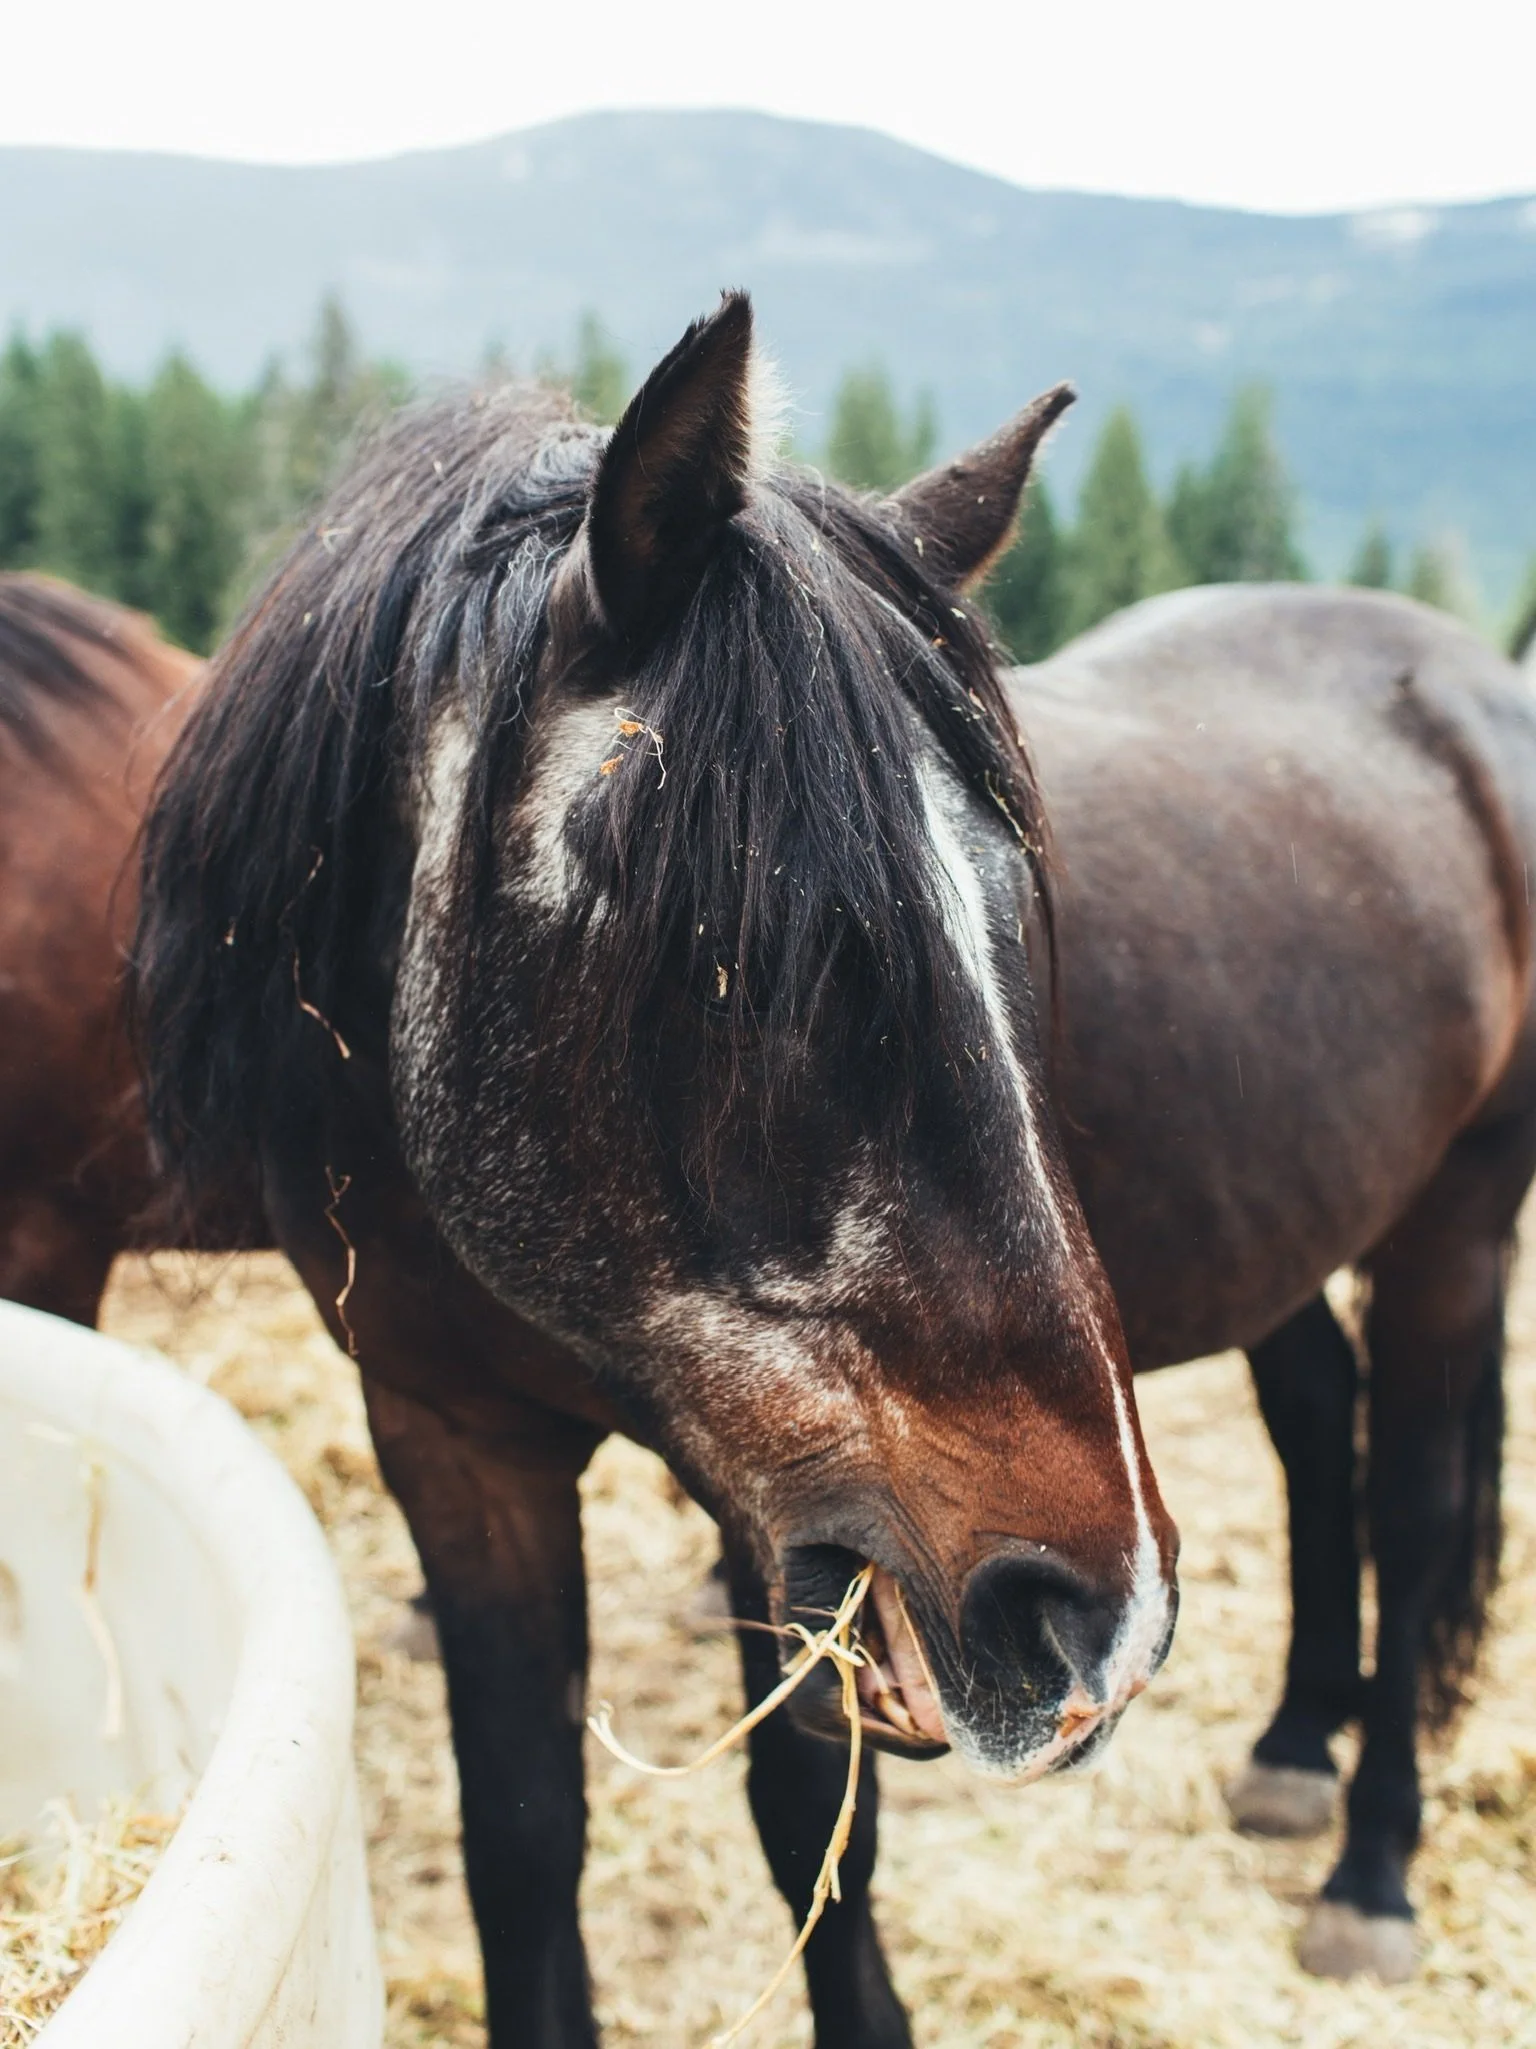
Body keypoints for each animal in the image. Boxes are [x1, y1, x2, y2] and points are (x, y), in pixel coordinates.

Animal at [131, 294, 1180, 2049]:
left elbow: (811, 1804)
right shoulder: (448, 1438)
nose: (1103, 1616)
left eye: (1016, 923)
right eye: (750, 973)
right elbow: (524, 1822)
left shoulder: (776, 1502)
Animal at [1014, 584, 1536, 1981]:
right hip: (1278, 1212)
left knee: (1411, 1503)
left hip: (1456, 1217)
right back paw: (1300, 1739)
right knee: (1315, 1427)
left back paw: (1373, 1865)